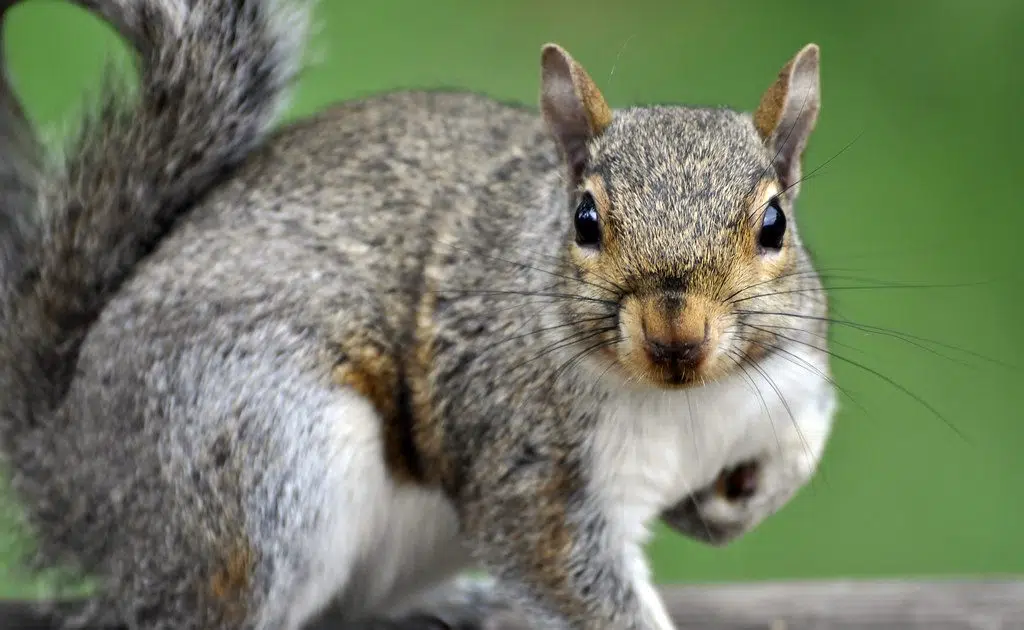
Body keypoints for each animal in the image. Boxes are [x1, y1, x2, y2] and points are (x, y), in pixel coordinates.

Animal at [0, 0, 838, 629]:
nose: (676, 334)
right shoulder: (529, 467)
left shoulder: (797, 379)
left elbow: (802, 449)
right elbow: (563, 569)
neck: (689, 403)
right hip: (259, 463)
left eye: (774, 224)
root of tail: (72, 467)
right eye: (585, 220)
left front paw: (733, 504)